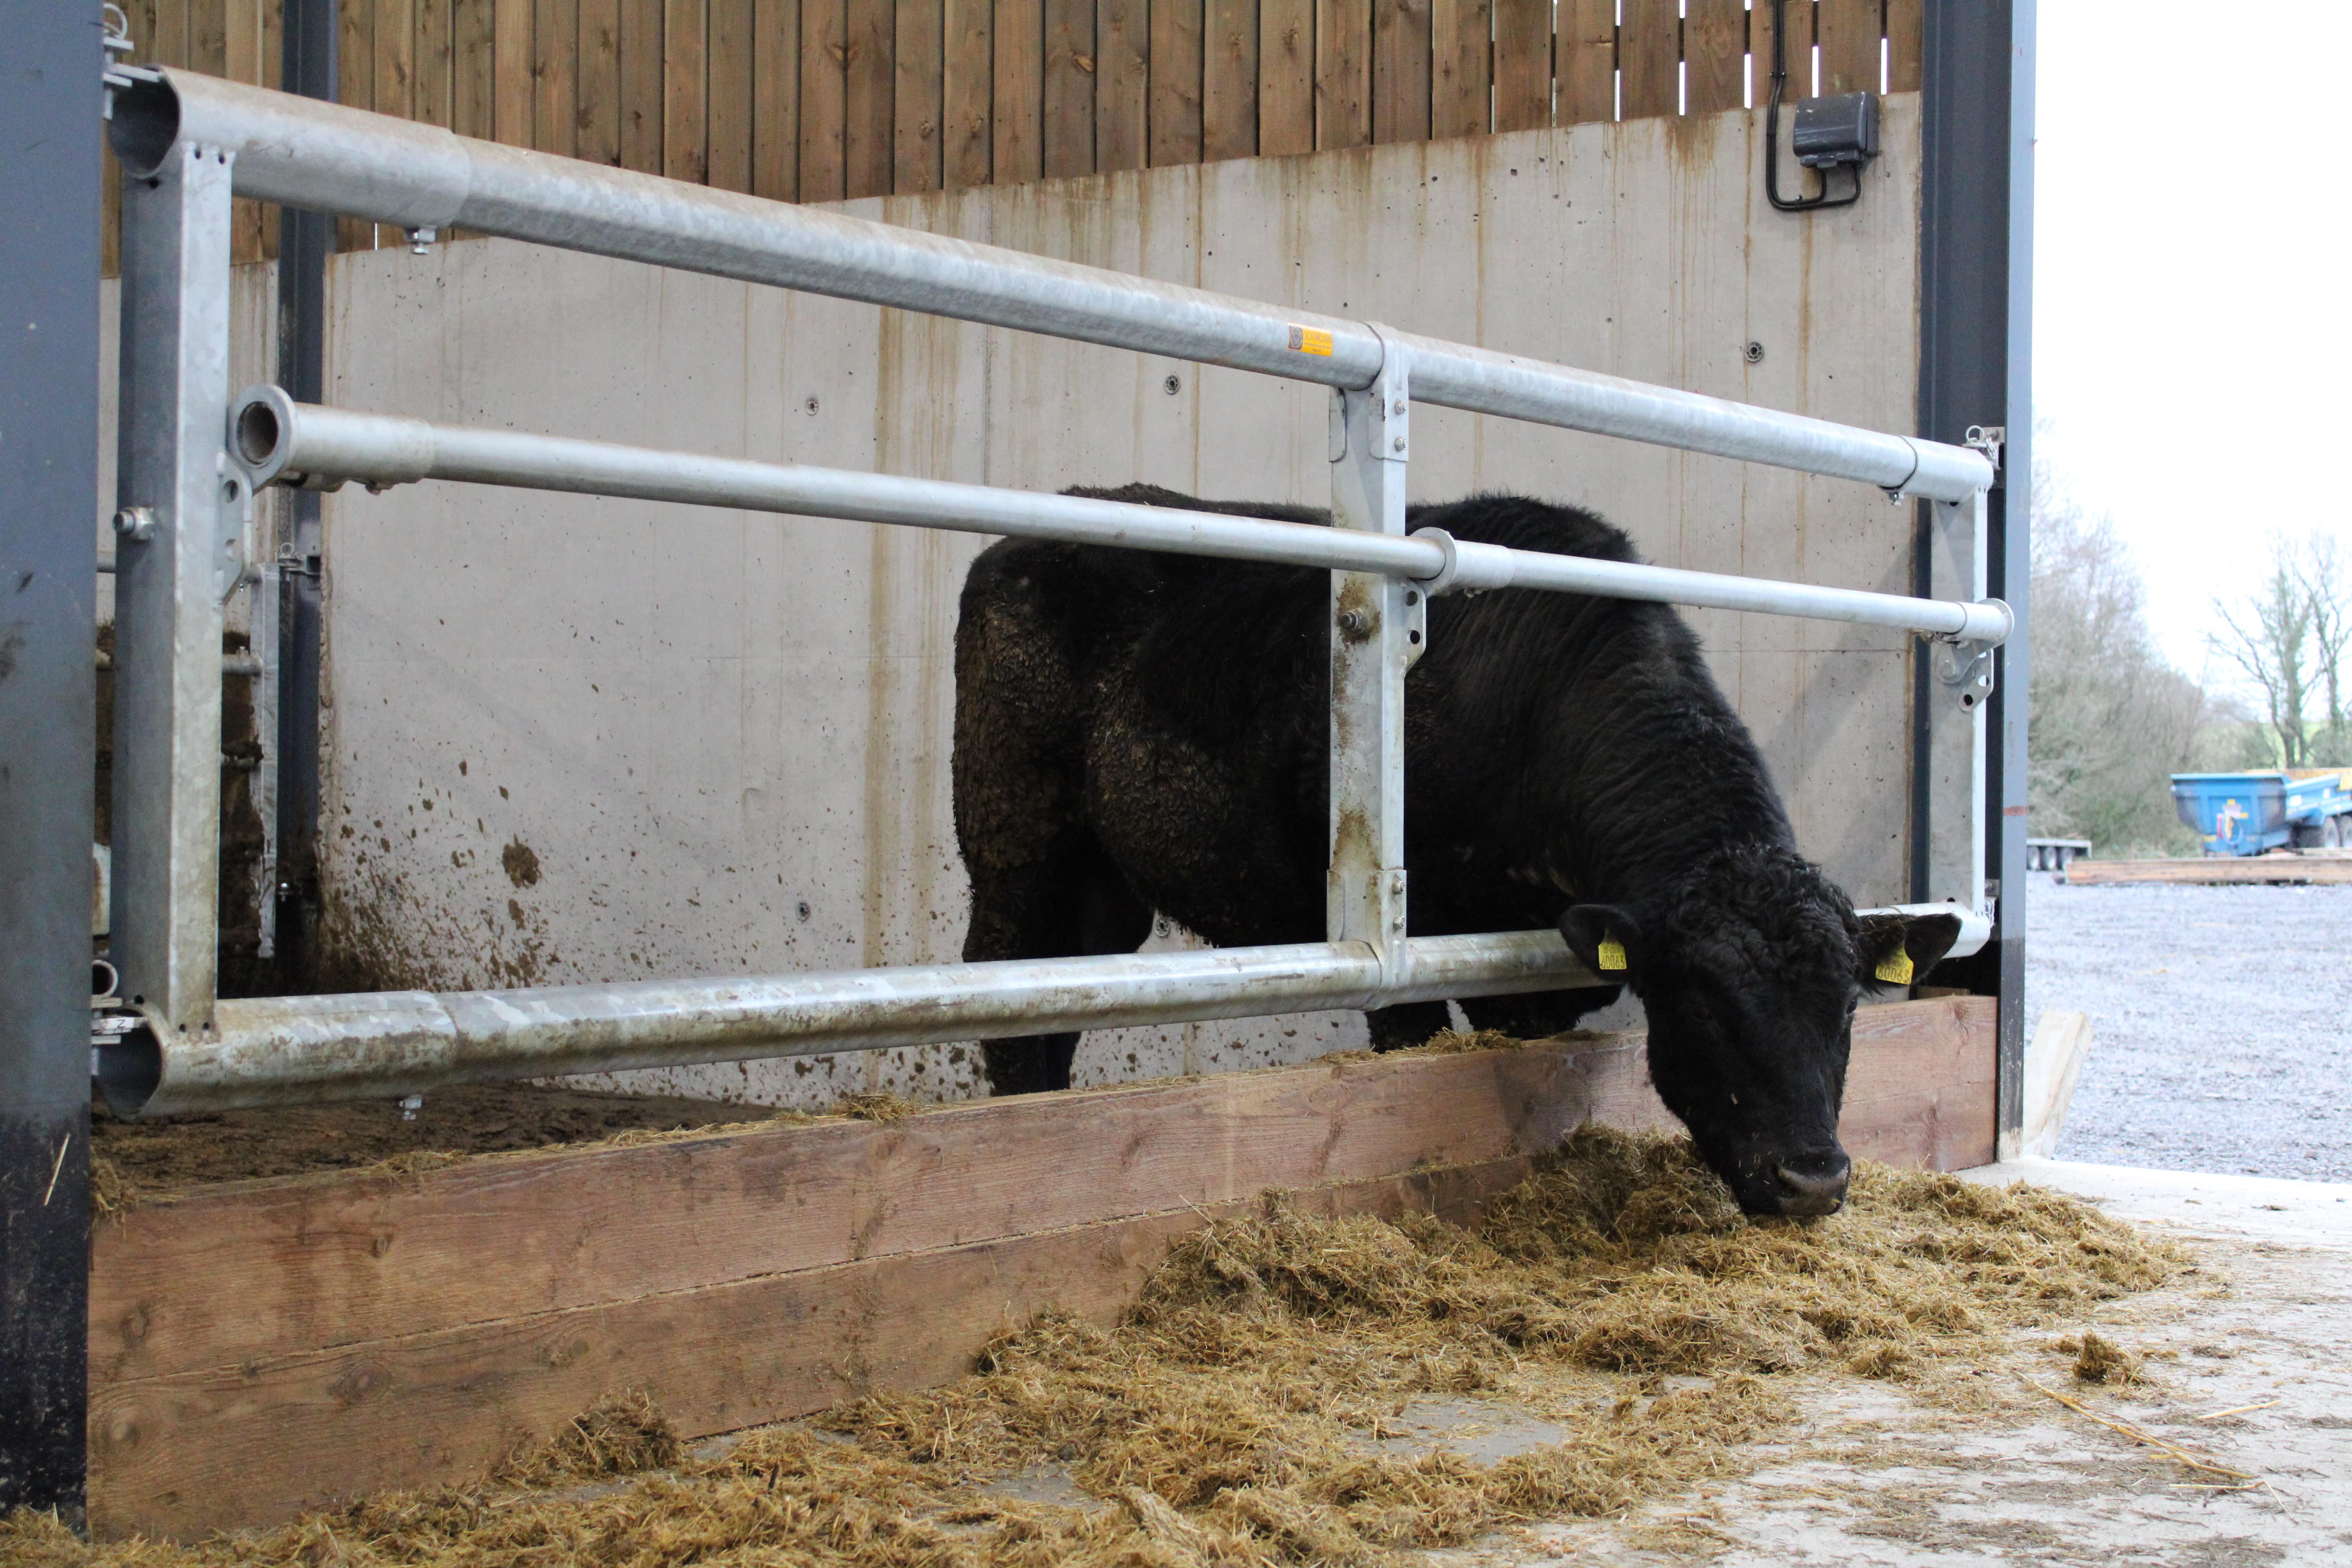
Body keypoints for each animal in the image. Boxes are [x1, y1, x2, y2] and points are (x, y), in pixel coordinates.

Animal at [950, 485, 1962, 1216]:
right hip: (1017, 853)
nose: (1815, 1180)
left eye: (1849, 1008)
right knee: (1007, 1001)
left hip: (1102, 889)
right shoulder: (1412, 948)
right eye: (1708, 1010)